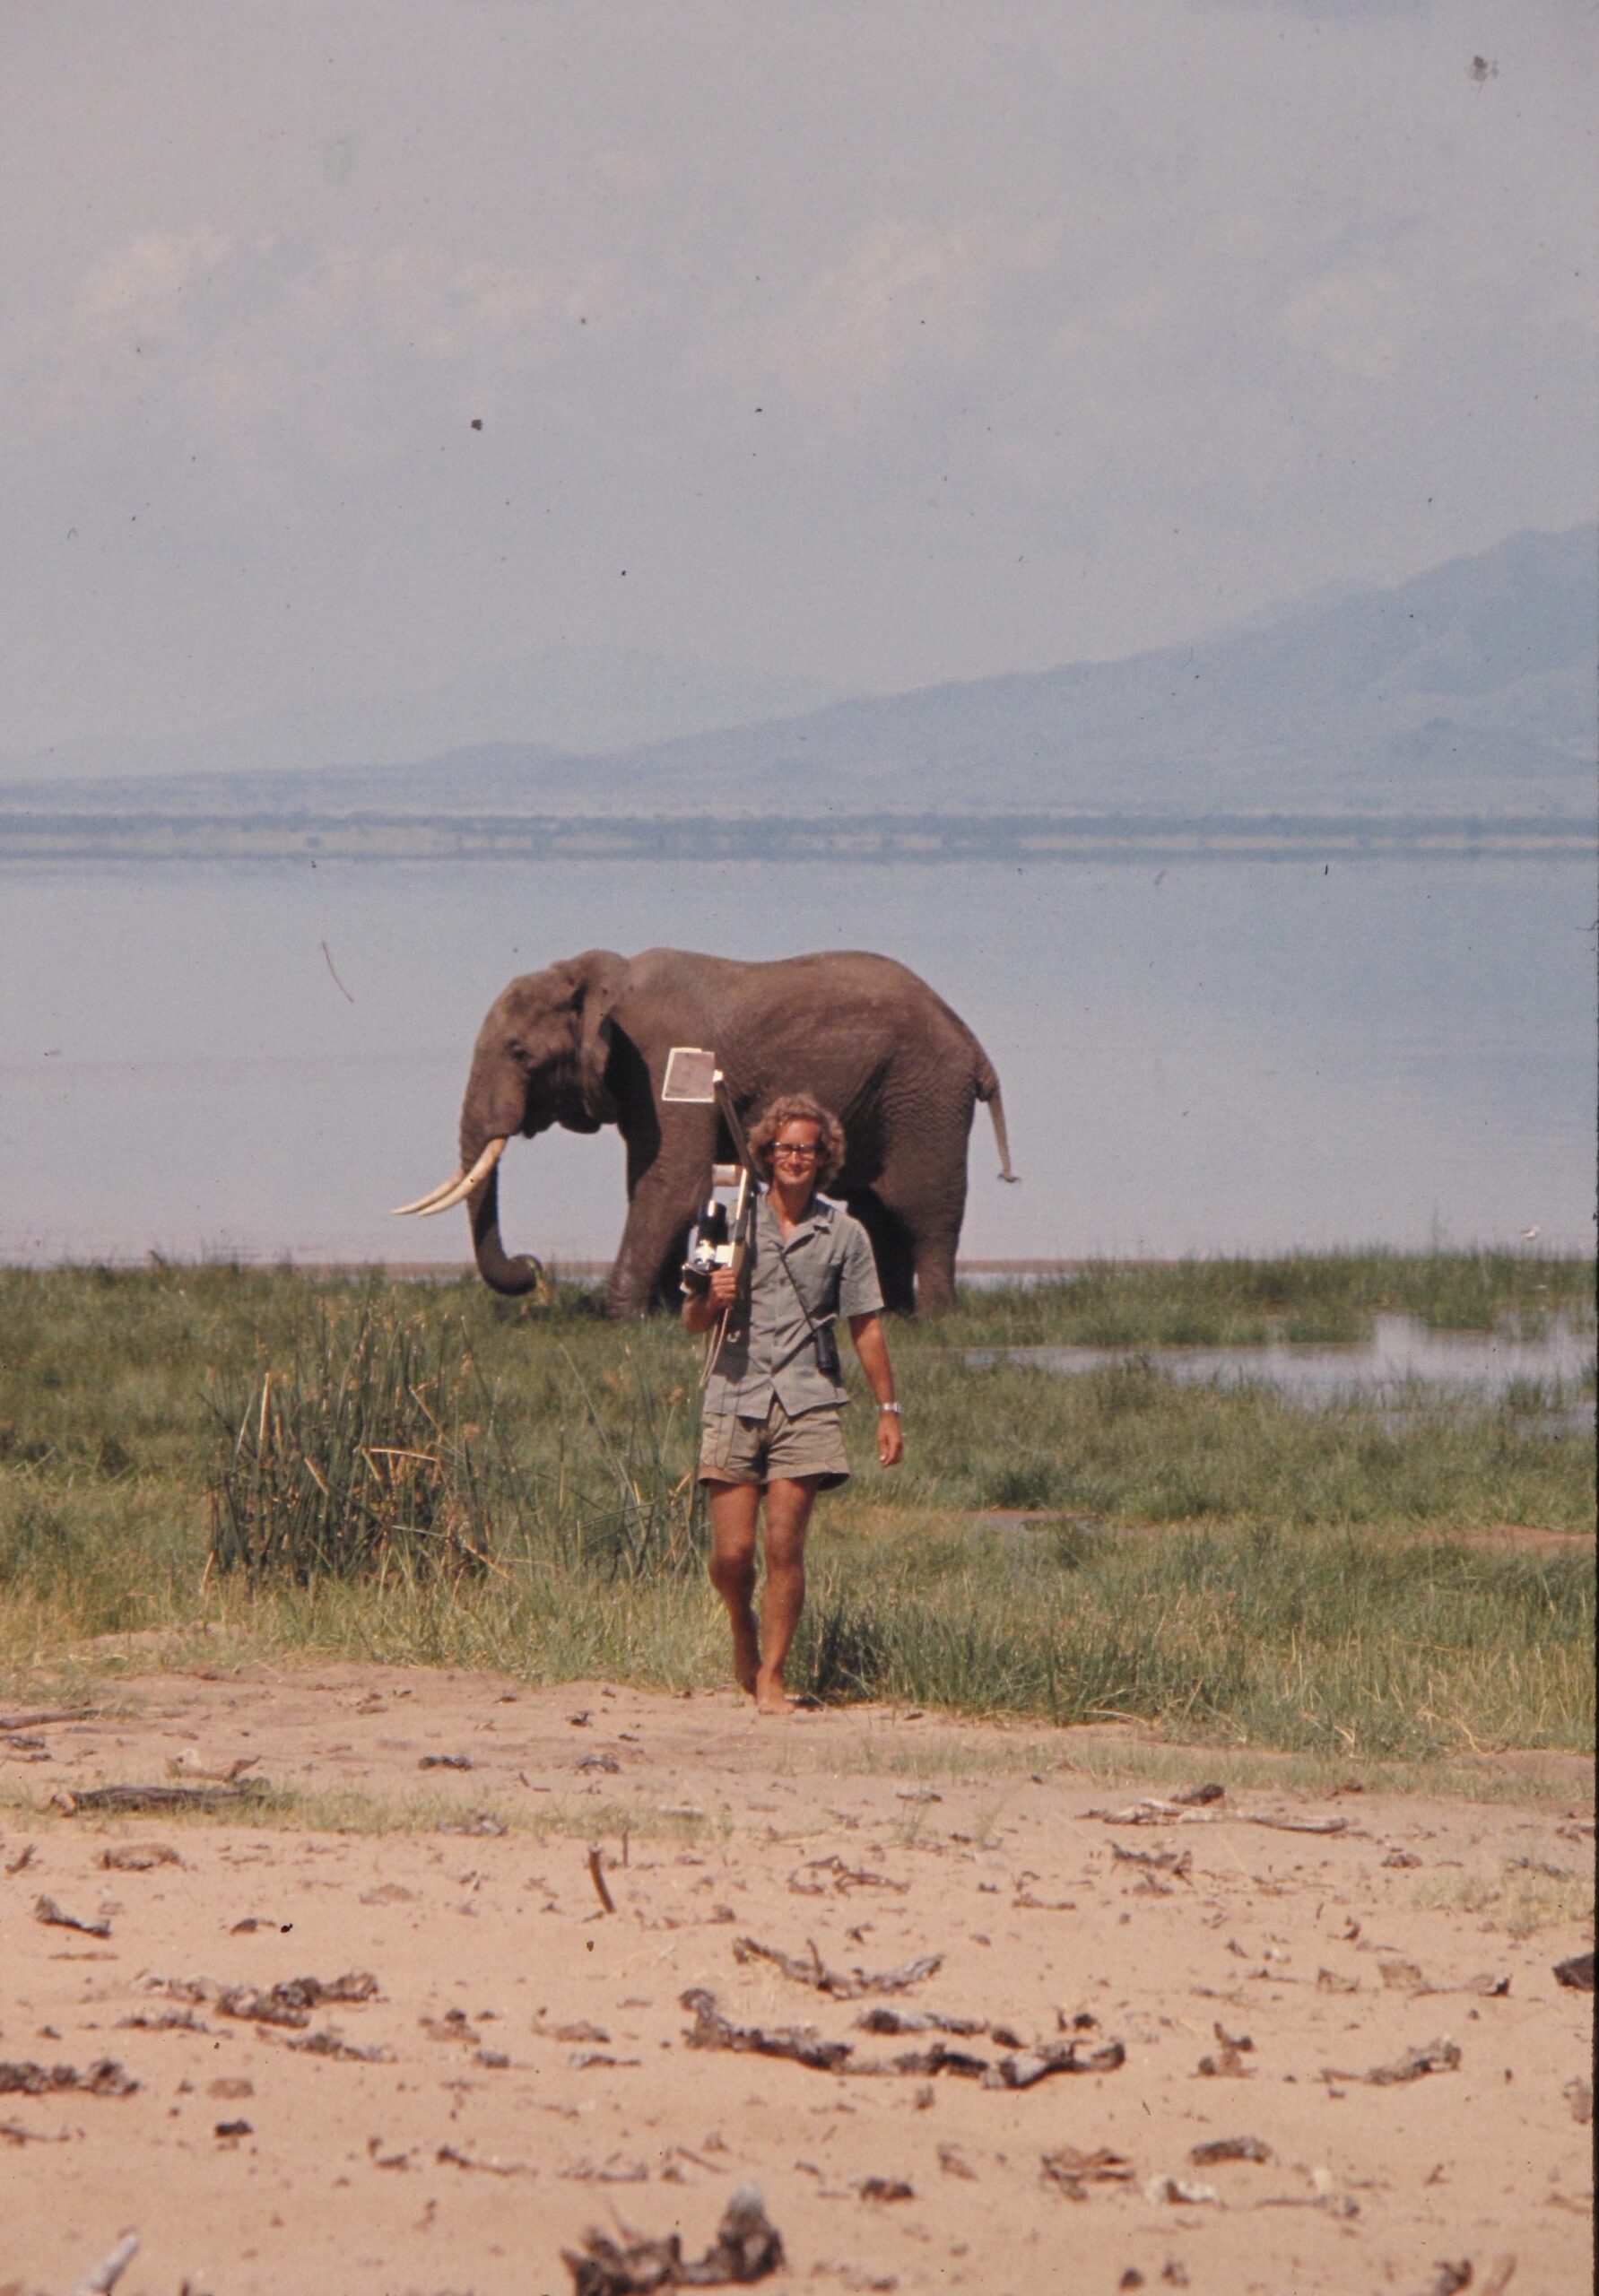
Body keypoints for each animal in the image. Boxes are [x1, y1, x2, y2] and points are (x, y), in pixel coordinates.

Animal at [395, 946, 1016, 1317]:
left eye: (521, 1054)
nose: (532, 1267)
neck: (600, 981)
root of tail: (975, 1047)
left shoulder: (667, 1059)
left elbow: (672, 1184)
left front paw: (620, 1318)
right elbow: (649, 1182)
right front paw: (663, 1312)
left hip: (926, 1098)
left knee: (922, 1209)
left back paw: (931, 1318)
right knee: (876, 1209)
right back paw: (888, 1313)